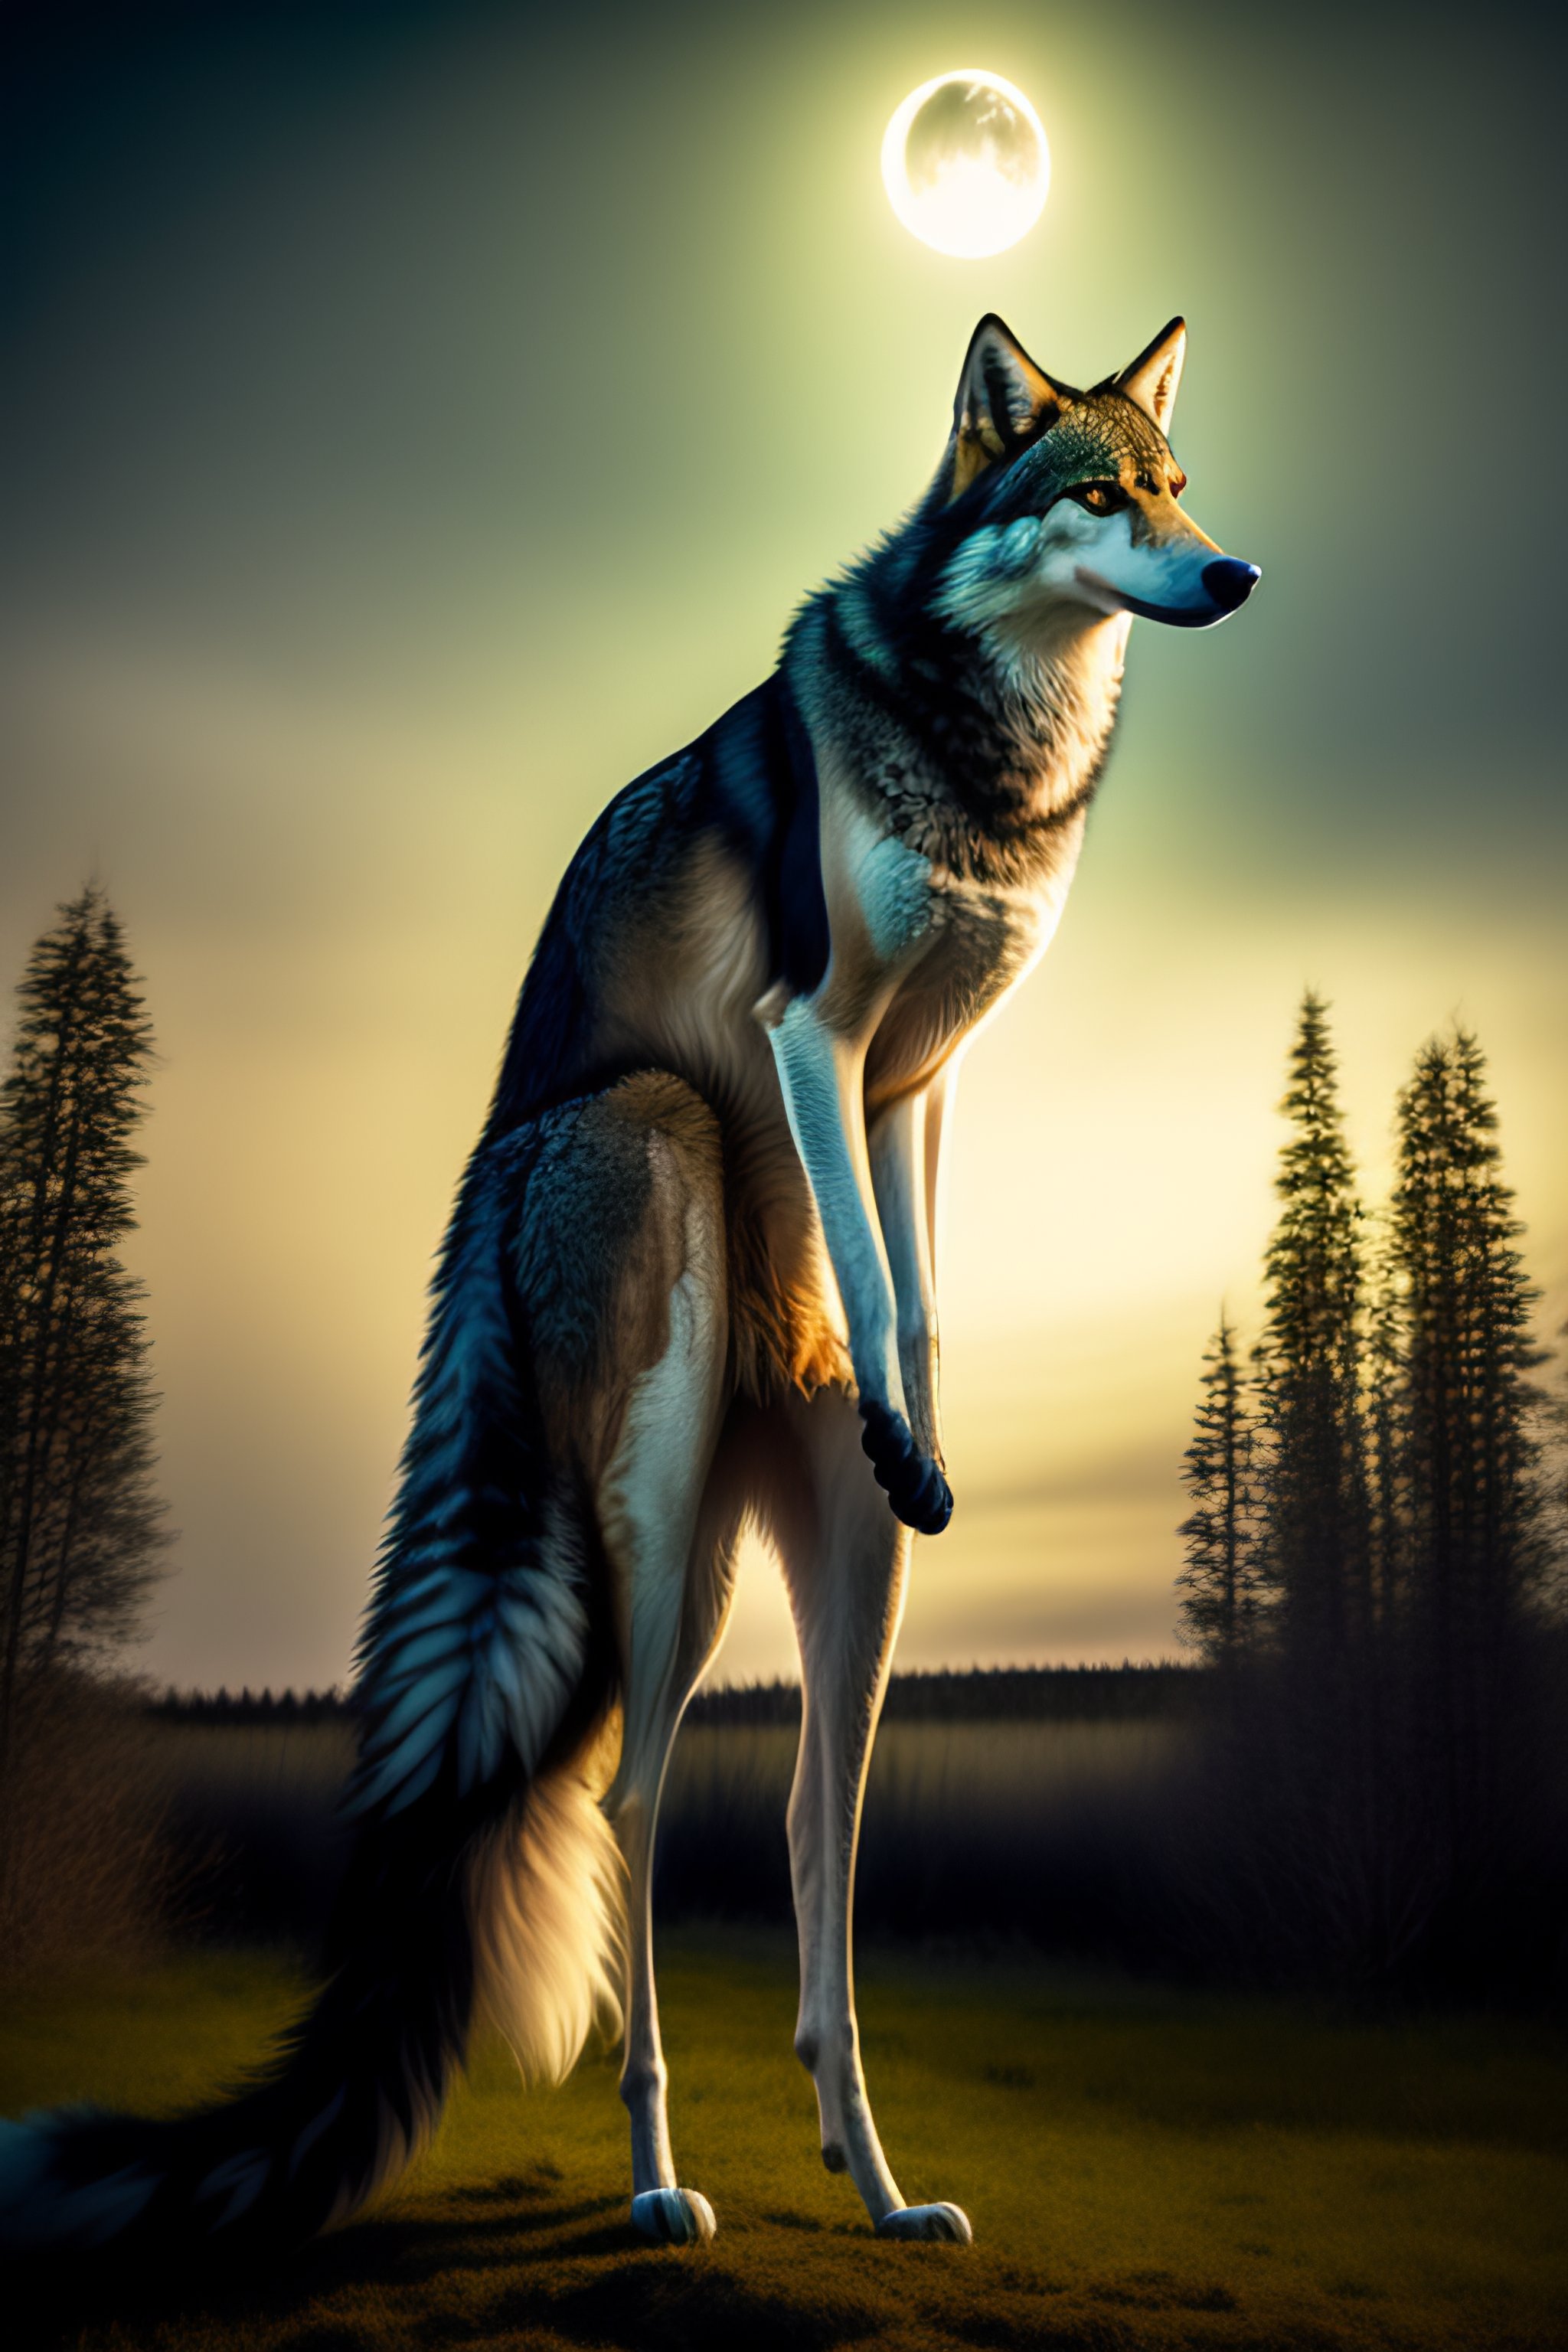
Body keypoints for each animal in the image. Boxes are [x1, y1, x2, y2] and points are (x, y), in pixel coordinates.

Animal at [0, 314, 1256, 2255]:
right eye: (1101, 493)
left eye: (1179, 485)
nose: (1231, 574)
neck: (987, 772)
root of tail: (491, 1179)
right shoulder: (814, 1029)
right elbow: (872, 1261)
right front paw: (899, 1393)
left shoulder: (919, 1082)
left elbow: (919, 1291)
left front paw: (922, 1420)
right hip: (656, 1321)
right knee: (632, 1799)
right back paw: (660, 2178)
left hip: (834, 1602)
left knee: (813, 1847)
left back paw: (877, 2187)